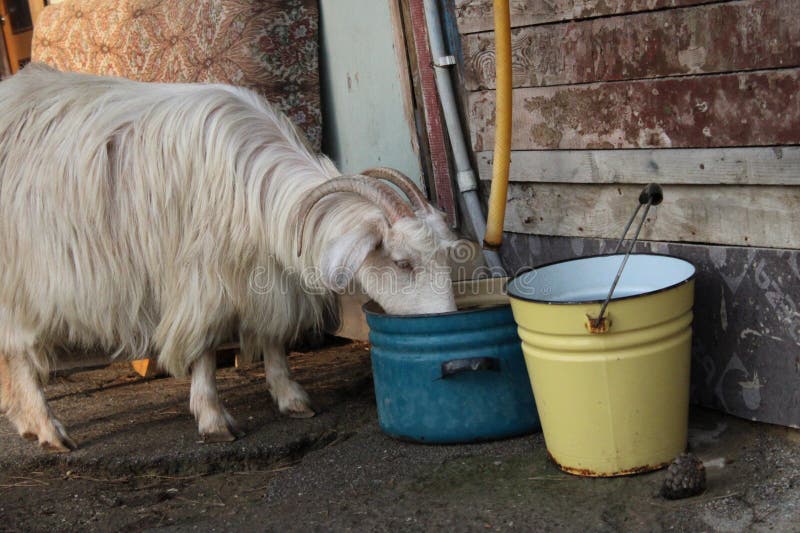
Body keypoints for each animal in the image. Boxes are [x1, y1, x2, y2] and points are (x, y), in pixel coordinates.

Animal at [0, 64, 459, 451]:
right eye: (402, 263)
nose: (445, 322)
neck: (252, 182)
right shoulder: (201, 279)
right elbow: (204, 349)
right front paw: (213, 418)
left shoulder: (266, 273)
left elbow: (274, 334)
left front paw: (291, 398)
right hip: (19, 278)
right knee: (19, 351)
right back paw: (49, 429)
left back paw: (24, 422)